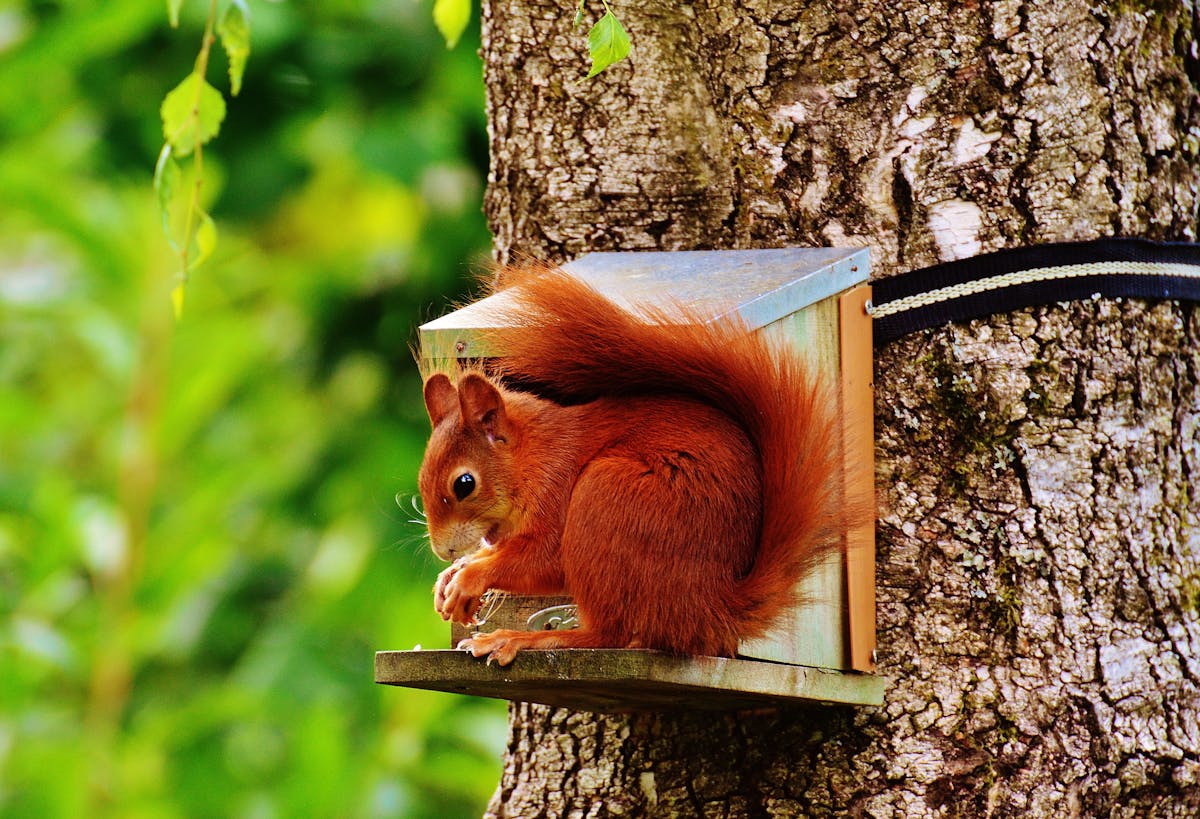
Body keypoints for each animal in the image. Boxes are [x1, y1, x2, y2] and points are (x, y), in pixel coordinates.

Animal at [417, 266, 845, 666]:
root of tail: (711, 607)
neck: (532, 458)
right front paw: (451, 576)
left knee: (610, 634)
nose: (442, 551)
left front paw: (469, 577)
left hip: (606, 496)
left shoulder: (557, 486)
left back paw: (518, 638)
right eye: (421, 484)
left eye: (464, 484)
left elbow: (545, 560)